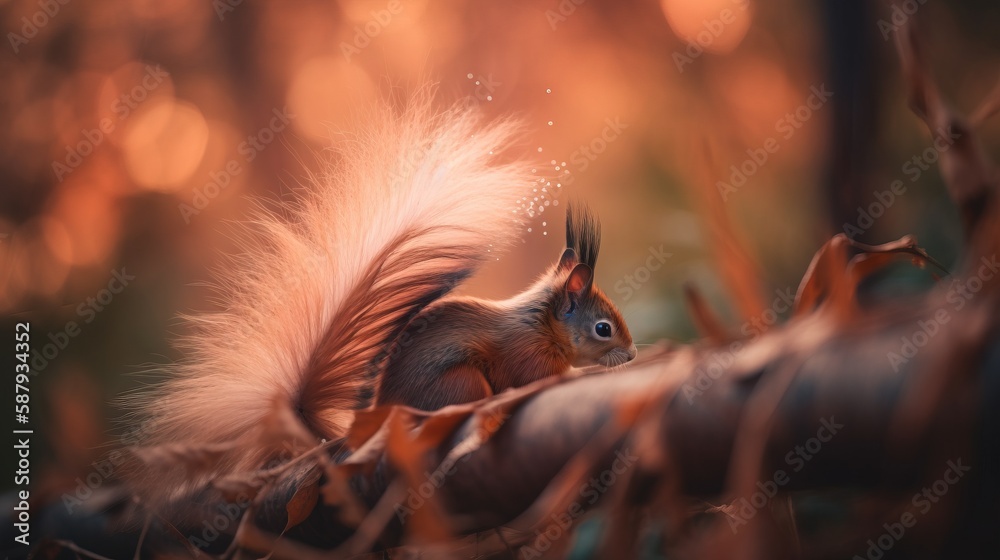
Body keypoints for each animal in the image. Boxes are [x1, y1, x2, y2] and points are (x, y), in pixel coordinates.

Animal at [128, 95, 635, 489]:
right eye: (603, 328)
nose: (631, 355)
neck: (540, 324)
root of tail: (380, 412)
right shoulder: (526, 355)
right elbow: (540, 378)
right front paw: (578, 374)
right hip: (461, 382)